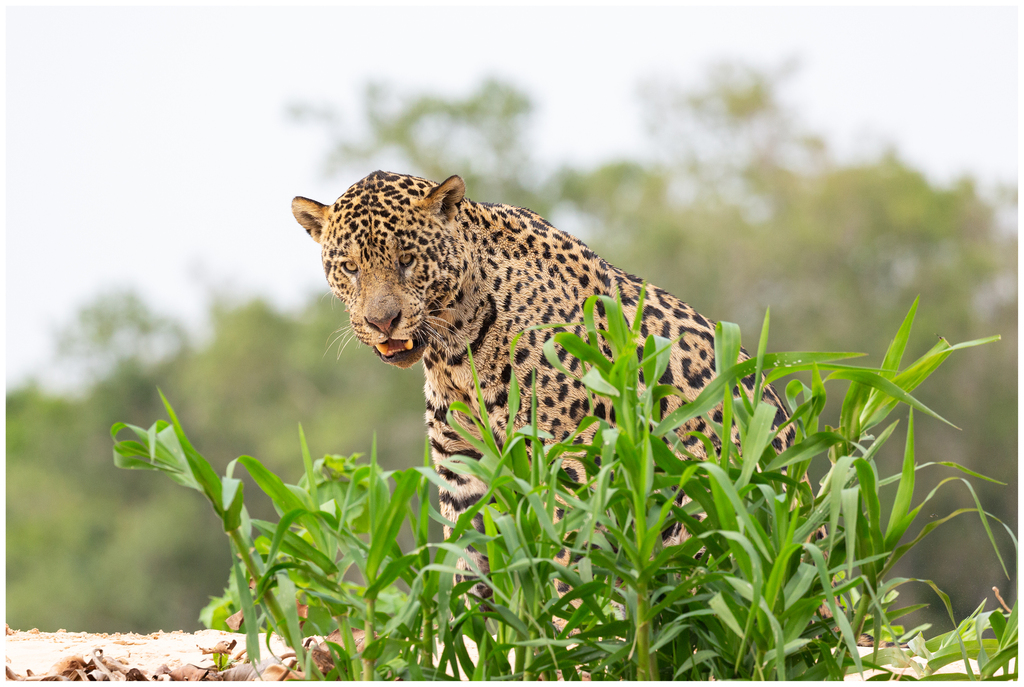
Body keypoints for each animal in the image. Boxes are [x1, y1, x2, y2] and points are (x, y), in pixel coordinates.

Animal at [291, 170, 862, 640]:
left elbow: (568, 566)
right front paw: (470, 652)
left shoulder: (572, 465)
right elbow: (467, 573)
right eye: (350, 268)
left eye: (408, 261)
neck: (454, 350)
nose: (381, 321)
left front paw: (565, 638)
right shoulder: (464, 476)